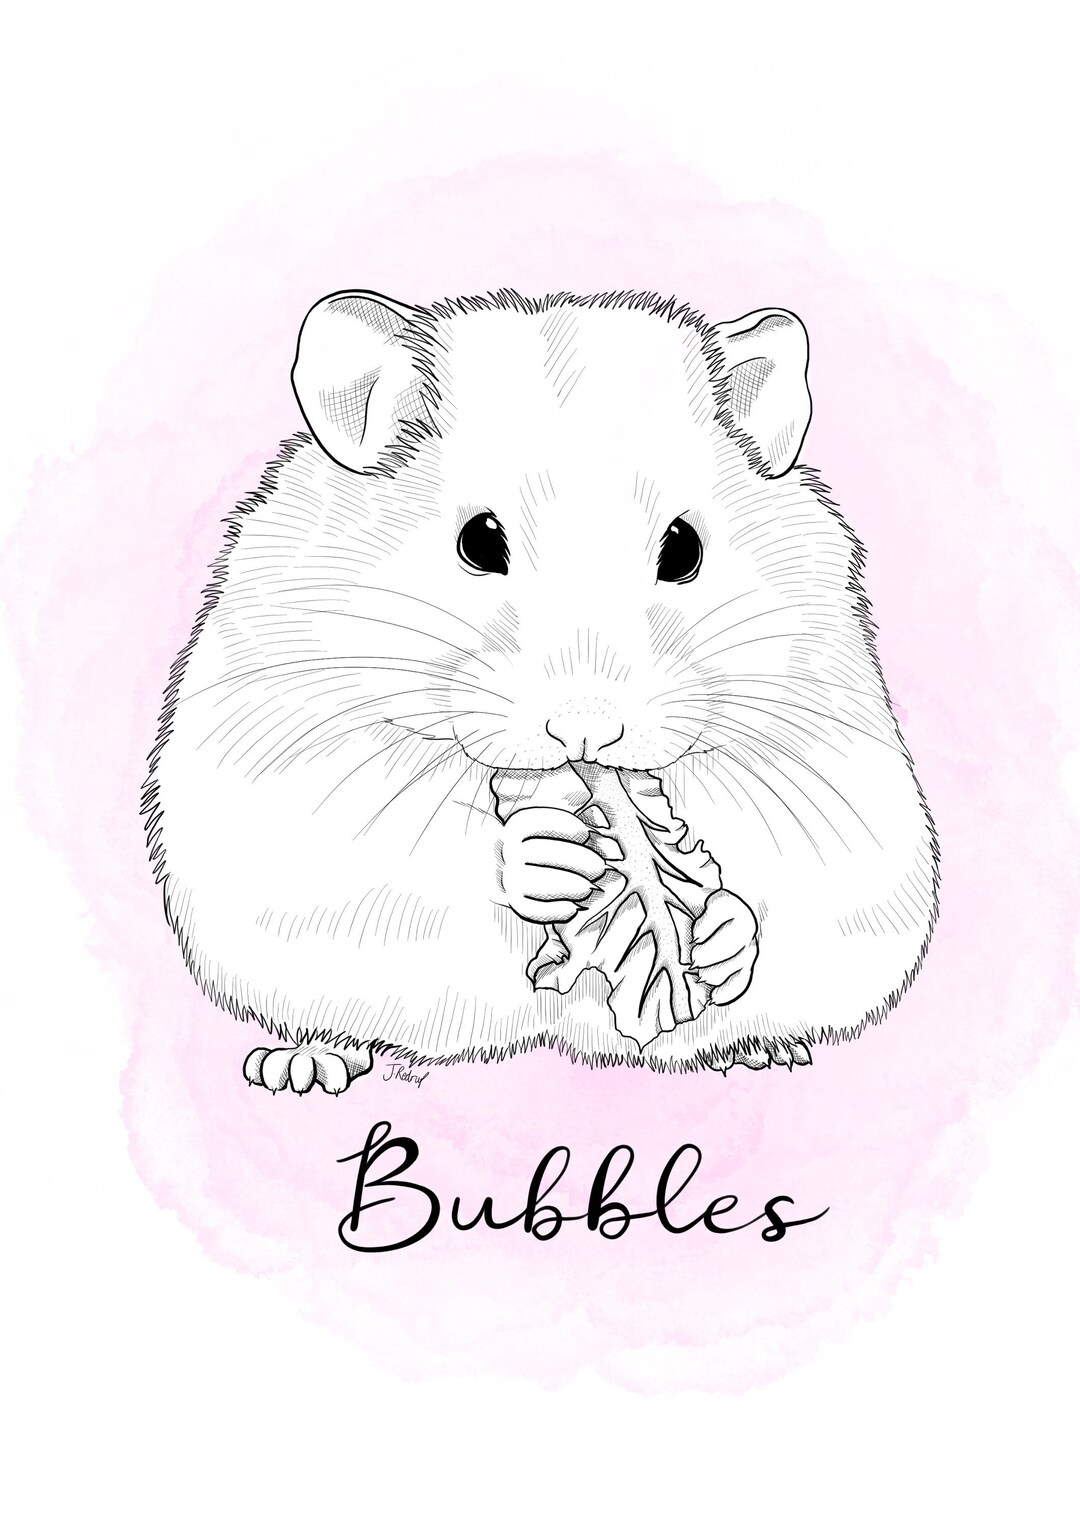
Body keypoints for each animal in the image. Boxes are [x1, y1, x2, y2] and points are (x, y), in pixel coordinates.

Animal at [143, 287, 939, 1091]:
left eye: (685, 549)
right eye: (477, 542)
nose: (587, 730)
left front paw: (714, 936)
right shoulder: (310, 776)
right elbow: (444, 860)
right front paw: (545, 855)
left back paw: (767, 1052)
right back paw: (304, 1065)